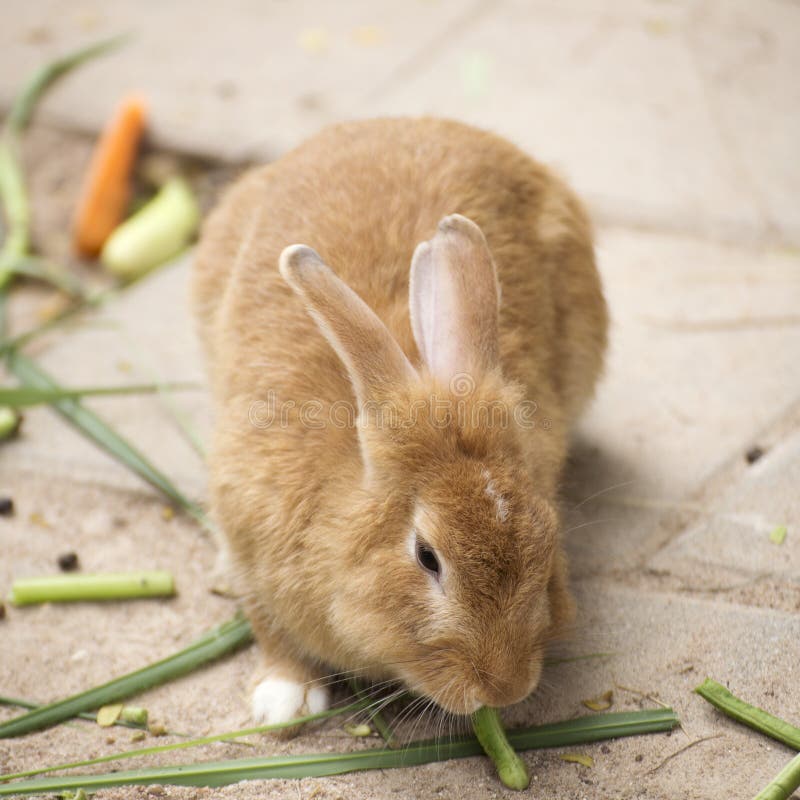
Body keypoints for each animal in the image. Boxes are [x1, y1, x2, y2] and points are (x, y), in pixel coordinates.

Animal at [192, 117, 608, 725]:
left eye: (548, 537)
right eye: (426, 556)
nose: (505, 689)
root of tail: (396, 122)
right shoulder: (245, 527)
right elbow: (267, 622)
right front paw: (285, 699)